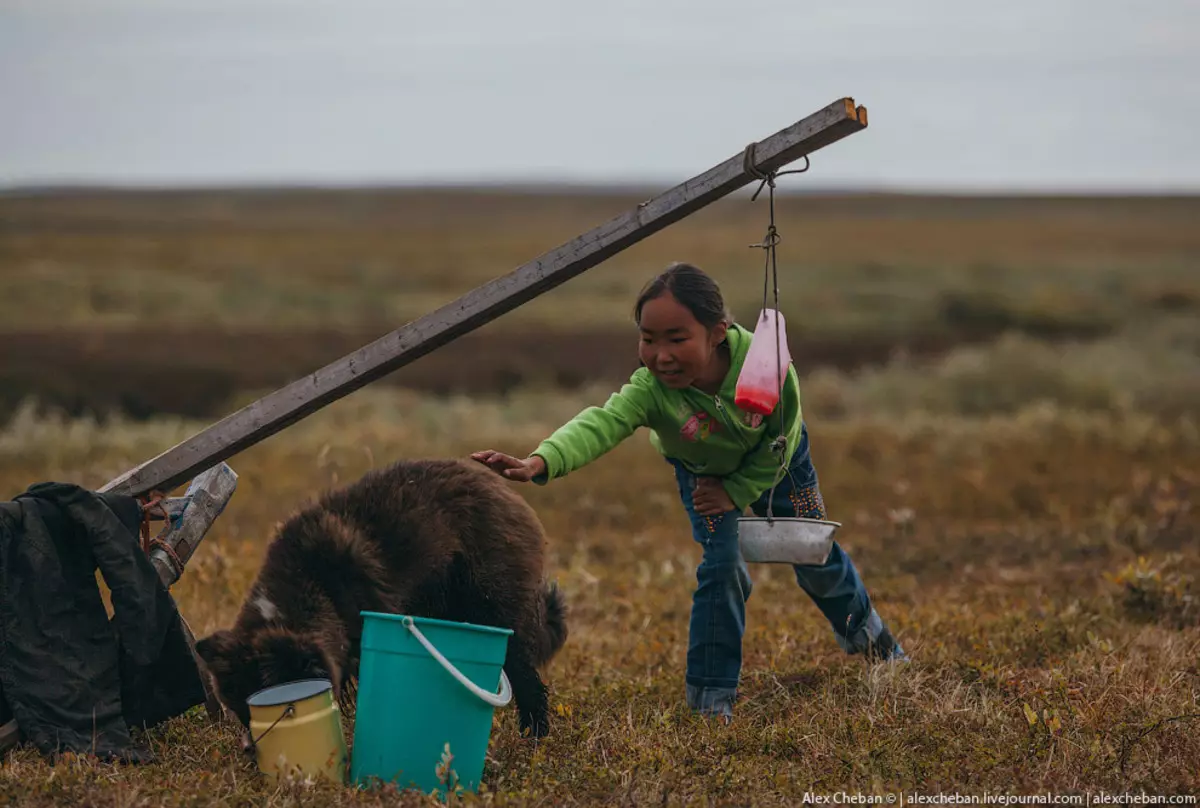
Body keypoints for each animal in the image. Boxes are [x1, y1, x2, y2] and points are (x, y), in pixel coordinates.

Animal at [194, 456, 568, 734]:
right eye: (242, 714)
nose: (252, 757)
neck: (312, 584)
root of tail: (501, 488)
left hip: (497, 609)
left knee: (527, 677)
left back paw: (534, 736)